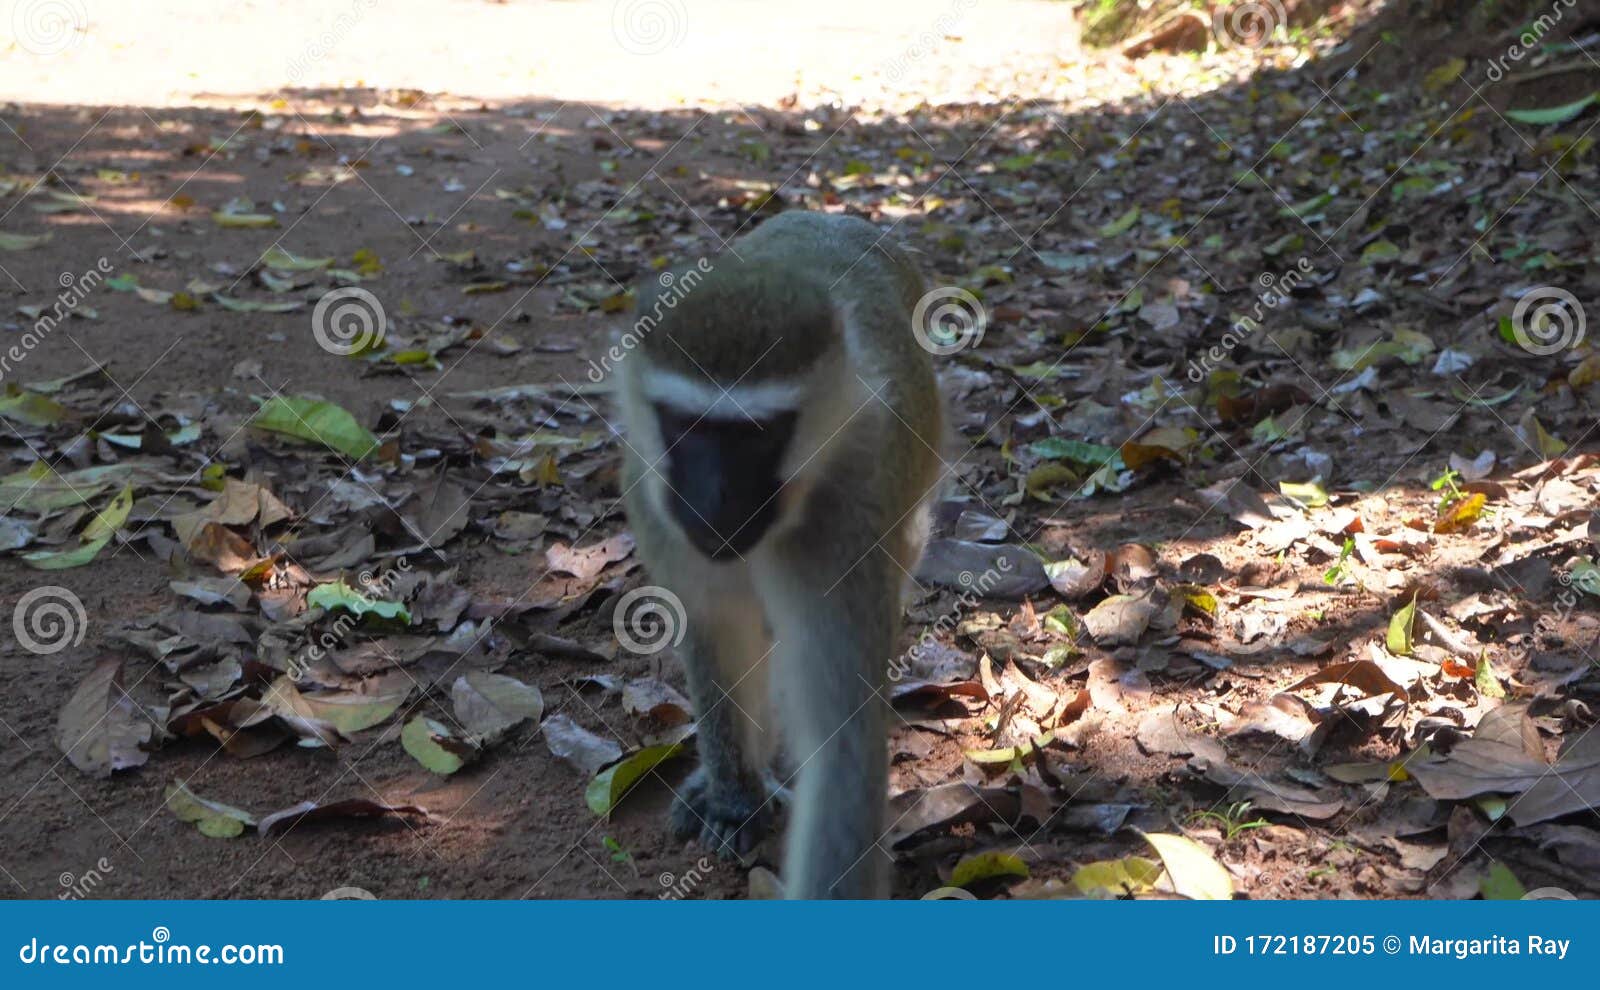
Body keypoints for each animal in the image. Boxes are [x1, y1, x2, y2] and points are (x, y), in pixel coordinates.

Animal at [614, 211, 944, 898]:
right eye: (686, 428)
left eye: (757, 436)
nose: (714, 502)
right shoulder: (651, 494)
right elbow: (713, 627)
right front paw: (734, 796)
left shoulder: (848, 516)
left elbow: (843, 744)